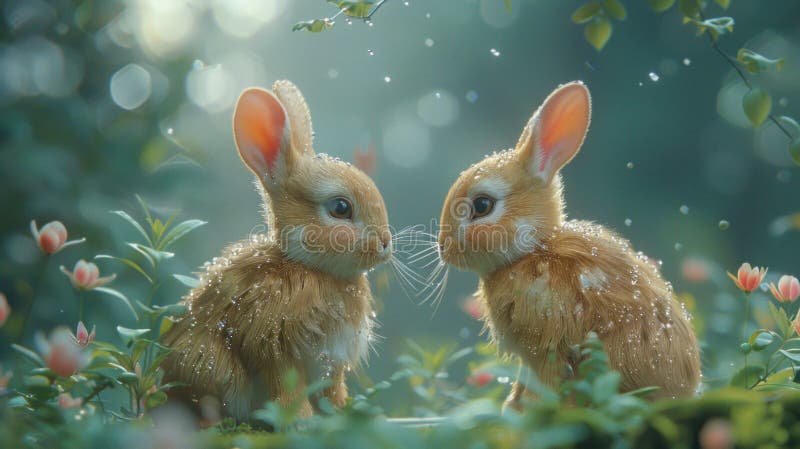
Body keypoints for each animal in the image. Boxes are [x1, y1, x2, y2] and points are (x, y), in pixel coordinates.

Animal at [161, 80, 392, 421]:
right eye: (340, 208)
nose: (386, 244)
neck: (310, 267)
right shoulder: (273, 345)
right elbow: (287, 388)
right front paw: (301, 422)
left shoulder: (331, 364)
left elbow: (331, 393)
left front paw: (345, 412)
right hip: (212, 366)